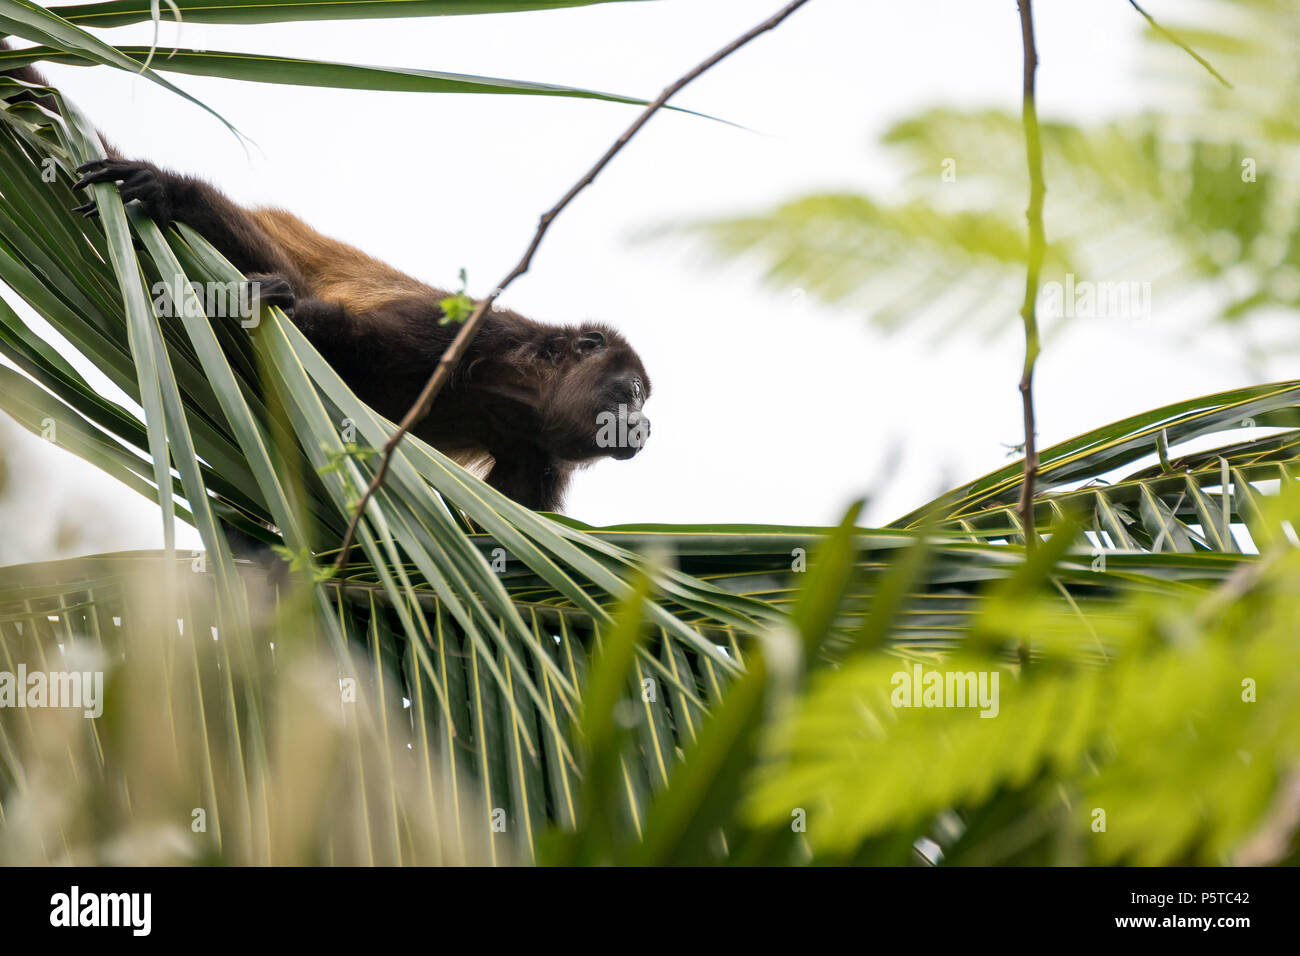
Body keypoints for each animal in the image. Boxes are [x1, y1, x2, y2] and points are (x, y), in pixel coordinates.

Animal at [0, 39, 651, 515]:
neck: (520, 392)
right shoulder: (470, 331)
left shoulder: (539, 459)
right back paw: (179, 199)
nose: (644, 426)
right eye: (635, 392)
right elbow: (361, 340)